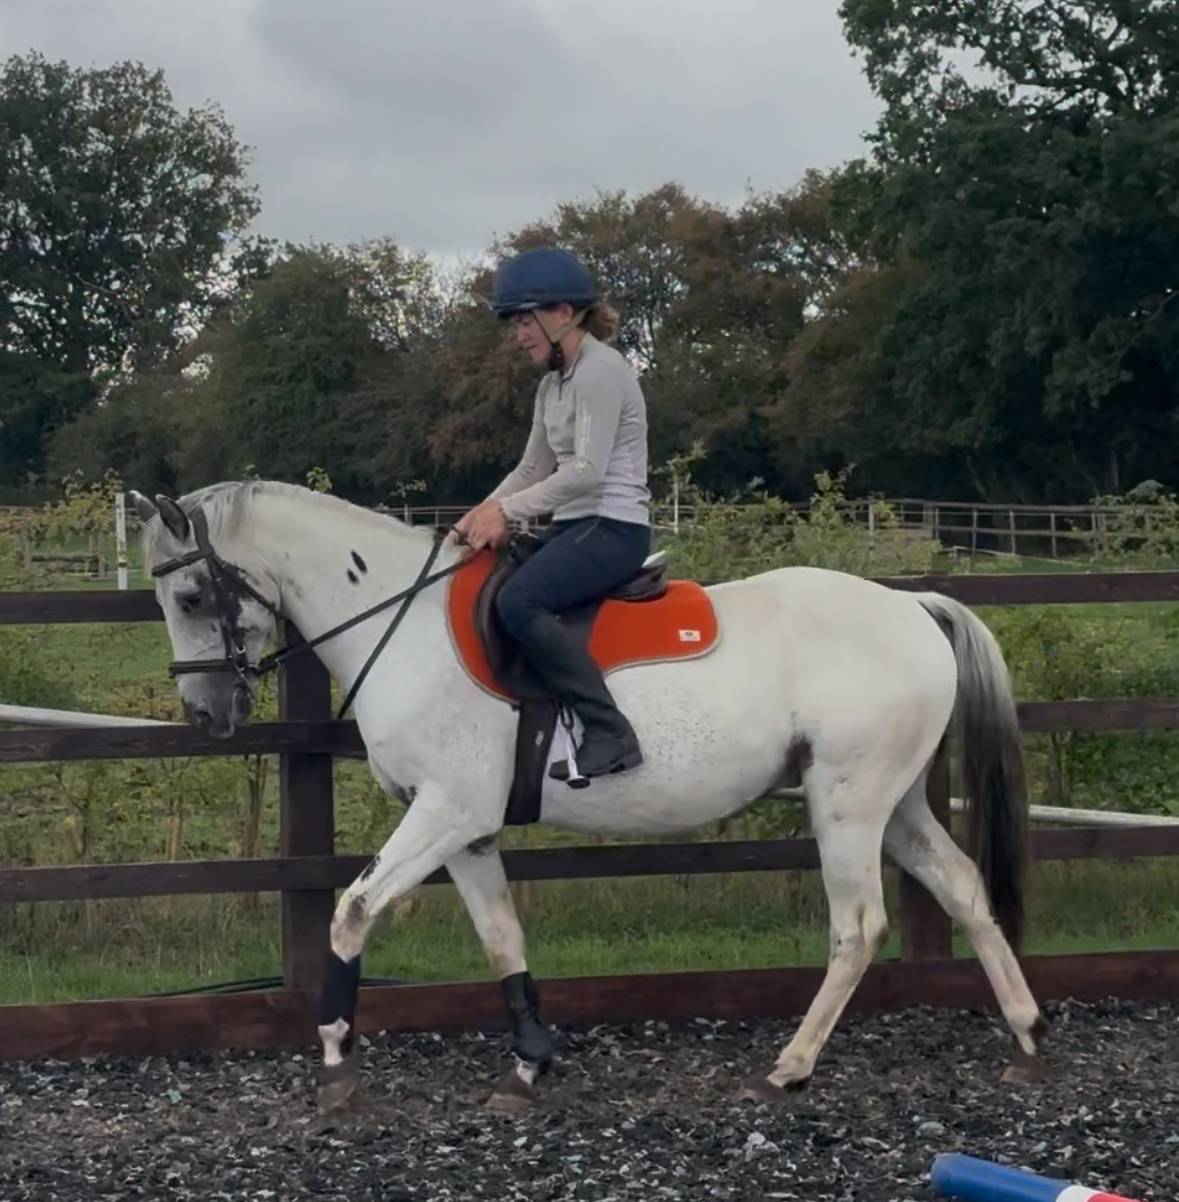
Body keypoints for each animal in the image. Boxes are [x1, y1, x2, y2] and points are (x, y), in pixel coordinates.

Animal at [131, 479, 1047, 1113]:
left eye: (189, 597)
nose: (205, 714)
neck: (402, 625)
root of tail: (910, 604)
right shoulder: (467, 831)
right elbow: (501, 938)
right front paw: (530, 1060)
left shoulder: (444, 811)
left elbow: (352, 911)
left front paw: (334, 1060)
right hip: (894, 803)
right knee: (962, 886)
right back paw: (1026, 1031)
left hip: (846, 806)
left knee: (857, 928)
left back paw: (789, 1066)